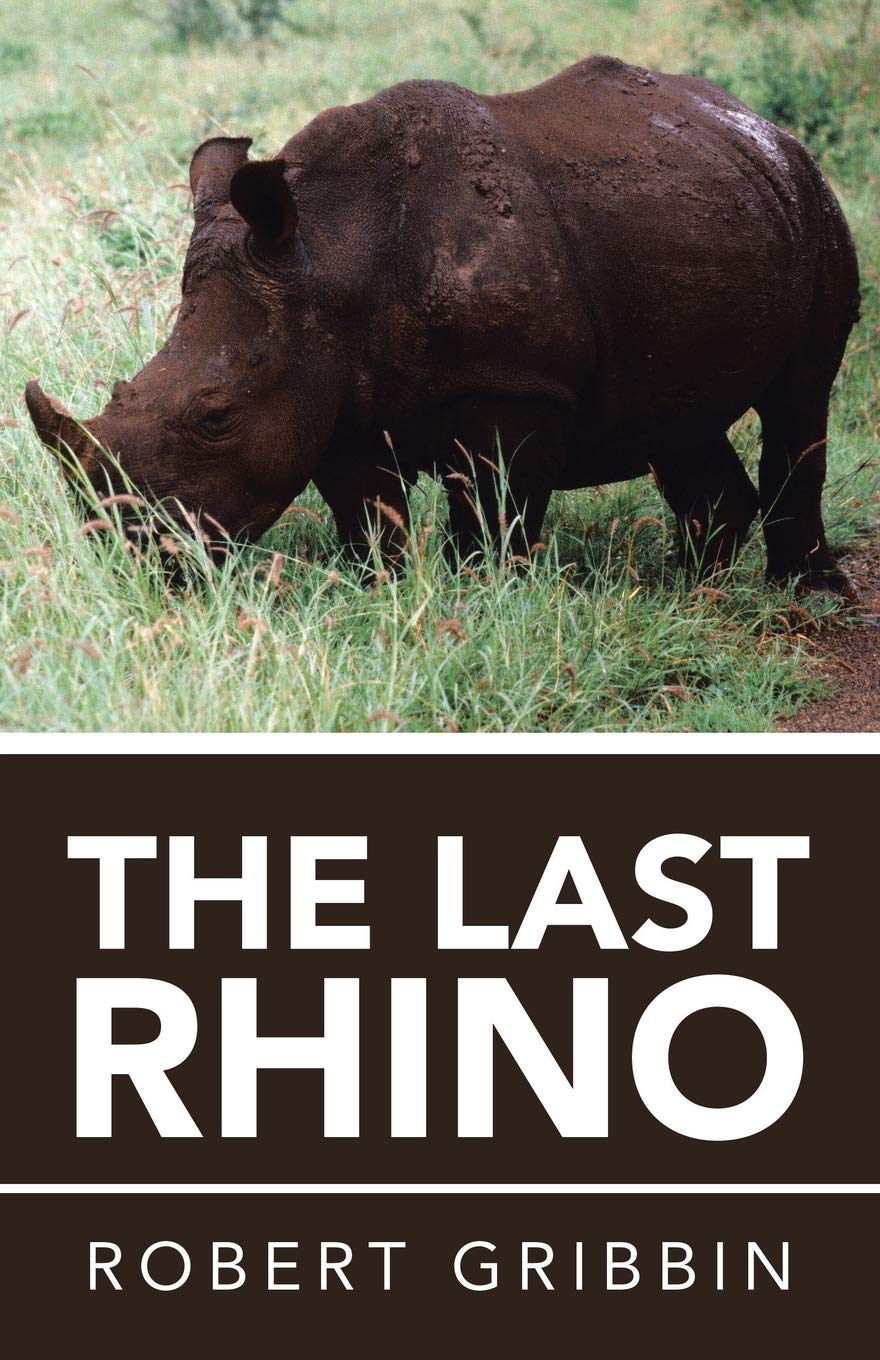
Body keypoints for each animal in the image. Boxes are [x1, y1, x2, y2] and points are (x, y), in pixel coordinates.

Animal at [25, 55, 861, 592]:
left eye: (216, 416)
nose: (135, 558)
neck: (331, 254)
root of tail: (762, 126)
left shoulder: (518, 385)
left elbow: (493, 514)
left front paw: (485, 599)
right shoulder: (329, 387)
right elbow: (365, 514)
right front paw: (382, 594)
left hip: (814, 207)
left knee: (801, 396)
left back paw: (803, 596)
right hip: (713, 208)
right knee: (677, 418)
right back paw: (685, 591)